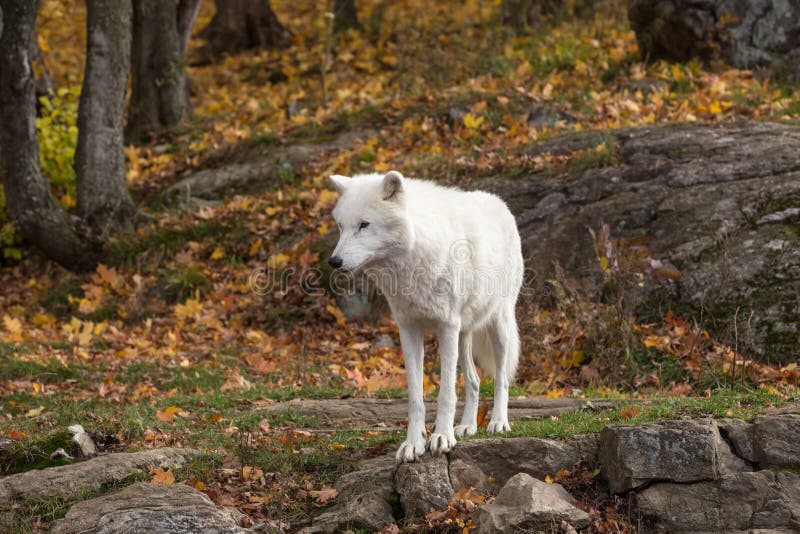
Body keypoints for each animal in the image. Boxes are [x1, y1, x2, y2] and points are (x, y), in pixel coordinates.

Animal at [328, 170, 523, 463]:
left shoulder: (446, 327)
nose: (334, 261)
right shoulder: (409, 330)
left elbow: (446, 394)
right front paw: (413, 444)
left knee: (501, 379)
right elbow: (415, 398)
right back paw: (468, 426)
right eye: (341, 226)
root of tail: (498, 202)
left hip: (497, 325)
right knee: (474, 381)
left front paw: (442, 438)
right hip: (464, 335)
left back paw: (498, 422)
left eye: (364, 225)